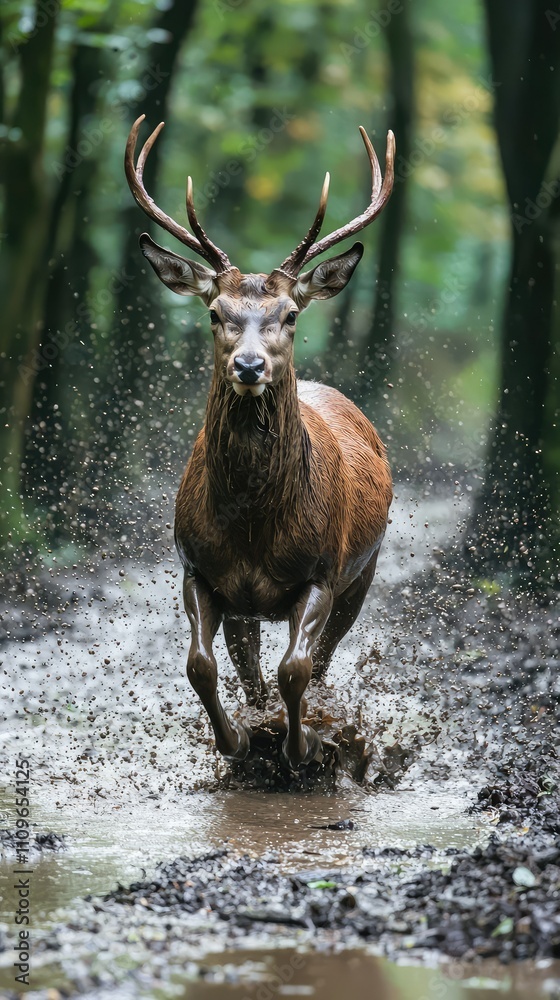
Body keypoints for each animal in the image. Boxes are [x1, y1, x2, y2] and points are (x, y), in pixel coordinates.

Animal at [125, 115, 394, 769]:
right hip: (249, 604)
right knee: (250, 669)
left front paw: (305, 745)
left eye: (291, 313)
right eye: (215, 311)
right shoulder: (199, 567)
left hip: (364, 571)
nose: (249, 365)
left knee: (319, 661)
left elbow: (296, 669)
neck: (255, 528)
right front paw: (239, 740)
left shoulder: (323, 570)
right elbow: (200, 665)